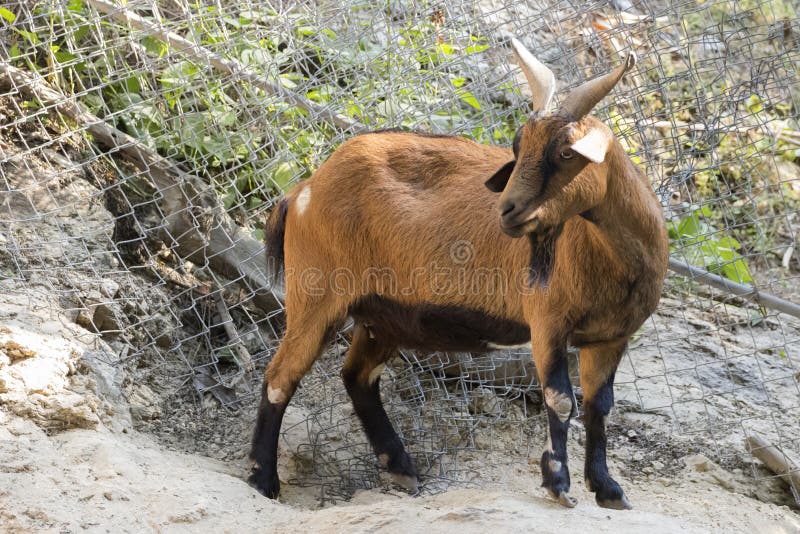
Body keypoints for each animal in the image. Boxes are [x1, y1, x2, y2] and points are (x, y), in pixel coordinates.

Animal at [248, 38, 669, 509]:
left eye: (565, 153)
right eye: (518, 145)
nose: (508, 210)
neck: (614, 261)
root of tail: (305, 188)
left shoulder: (612, 337)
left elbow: (600, 406)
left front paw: (608, 488)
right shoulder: (547, 323)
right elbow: (561, 400)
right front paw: (558, 485)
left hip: (383, 316)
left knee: (357, 376)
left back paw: (401, 468)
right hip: (317, 294)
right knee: (280, 377)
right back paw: (263, 479)